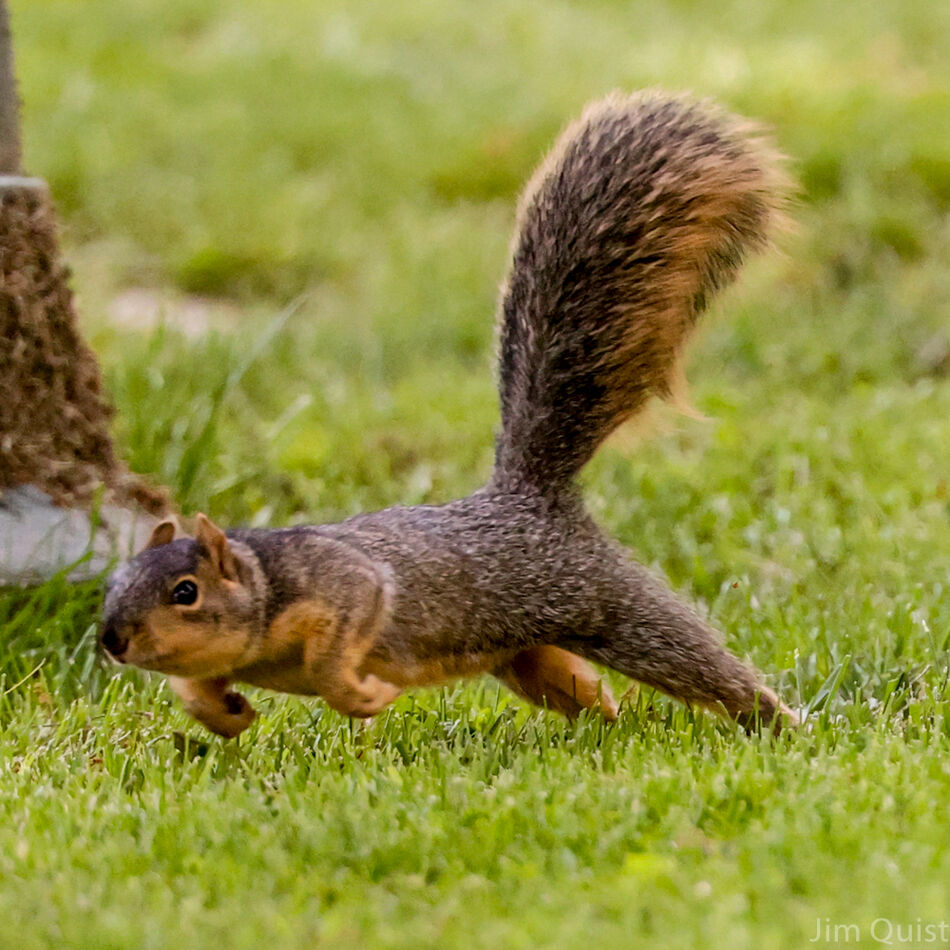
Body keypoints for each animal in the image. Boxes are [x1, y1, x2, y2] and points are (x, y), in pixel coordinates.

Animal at [101, 90, 797, 739]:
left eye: (185, 592)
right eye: (117, 578)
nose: (112, 640)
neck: (264, 586)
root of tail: (528, 495)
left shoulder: (345, 585)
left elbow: (339, 643)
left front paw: (358, 695)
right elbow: (194, 689)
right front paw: (223, 714)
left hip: (607, 605)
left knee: (700, 664)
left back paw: (780, 721)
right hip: (525, 654)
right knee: (581, 692)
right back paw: (609, 727)